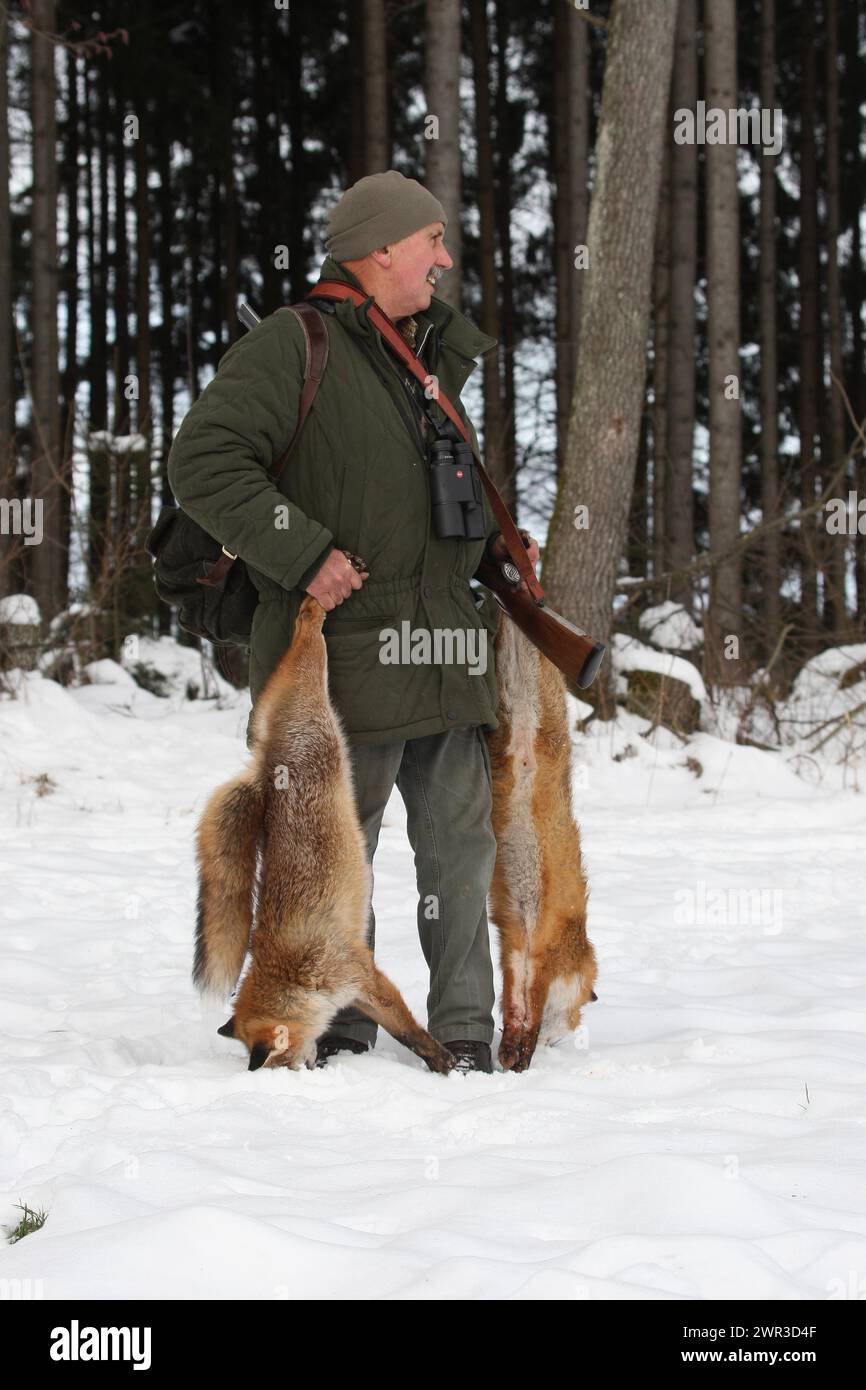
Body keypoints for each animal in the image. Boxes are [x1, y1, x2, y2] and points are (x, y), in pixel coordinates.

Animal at [193, 593, 455, 1075]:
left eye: (281, 1063)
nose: (310, 1069)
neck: (293, 971)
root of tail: (267, 765)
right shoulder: (354, 986)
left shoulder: (359, 973)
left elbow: (408, 1032)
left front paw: (446, 1062)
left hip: (316, 682)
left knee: (308, 635)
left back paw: (315, 603)